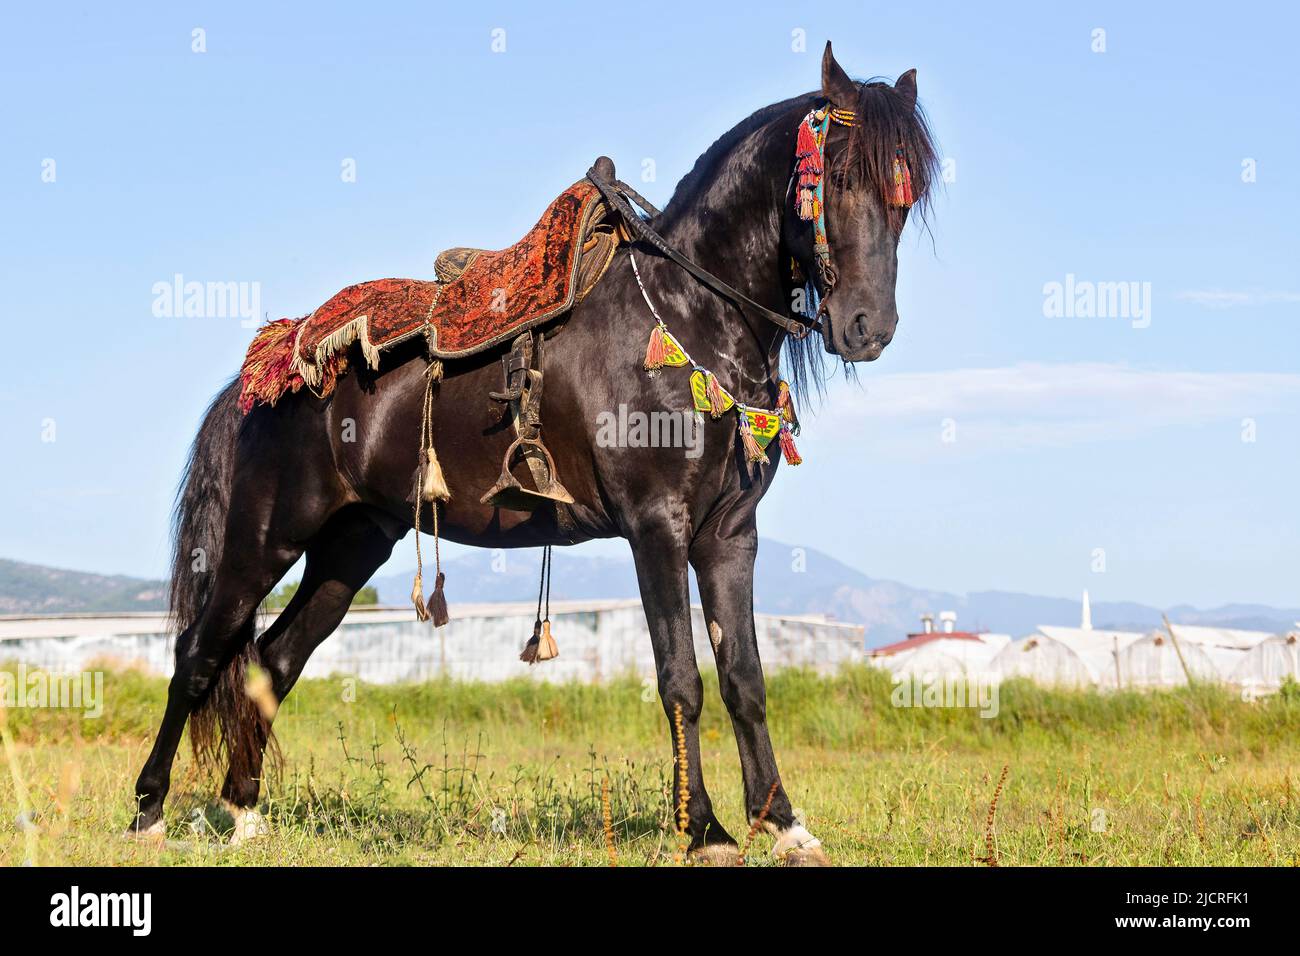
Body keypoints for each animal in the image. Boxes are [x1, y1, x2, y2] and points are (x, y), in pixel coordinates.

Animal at [130, 41, 939, 865]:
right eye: (837, 178)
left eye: (905, 201)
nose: (868, 328)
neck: (689, 314)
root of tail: (265, 372)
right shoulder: (658, 527)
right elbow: (681, 678)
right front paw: (705, 831)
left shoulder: (728, 535)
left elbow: (745, 677)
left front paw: (783, 823)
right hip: (264, 536)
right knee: (199, 656)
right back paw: (150, 810)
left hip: (351, 543)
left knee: (273, 662)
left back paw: (245, 812)